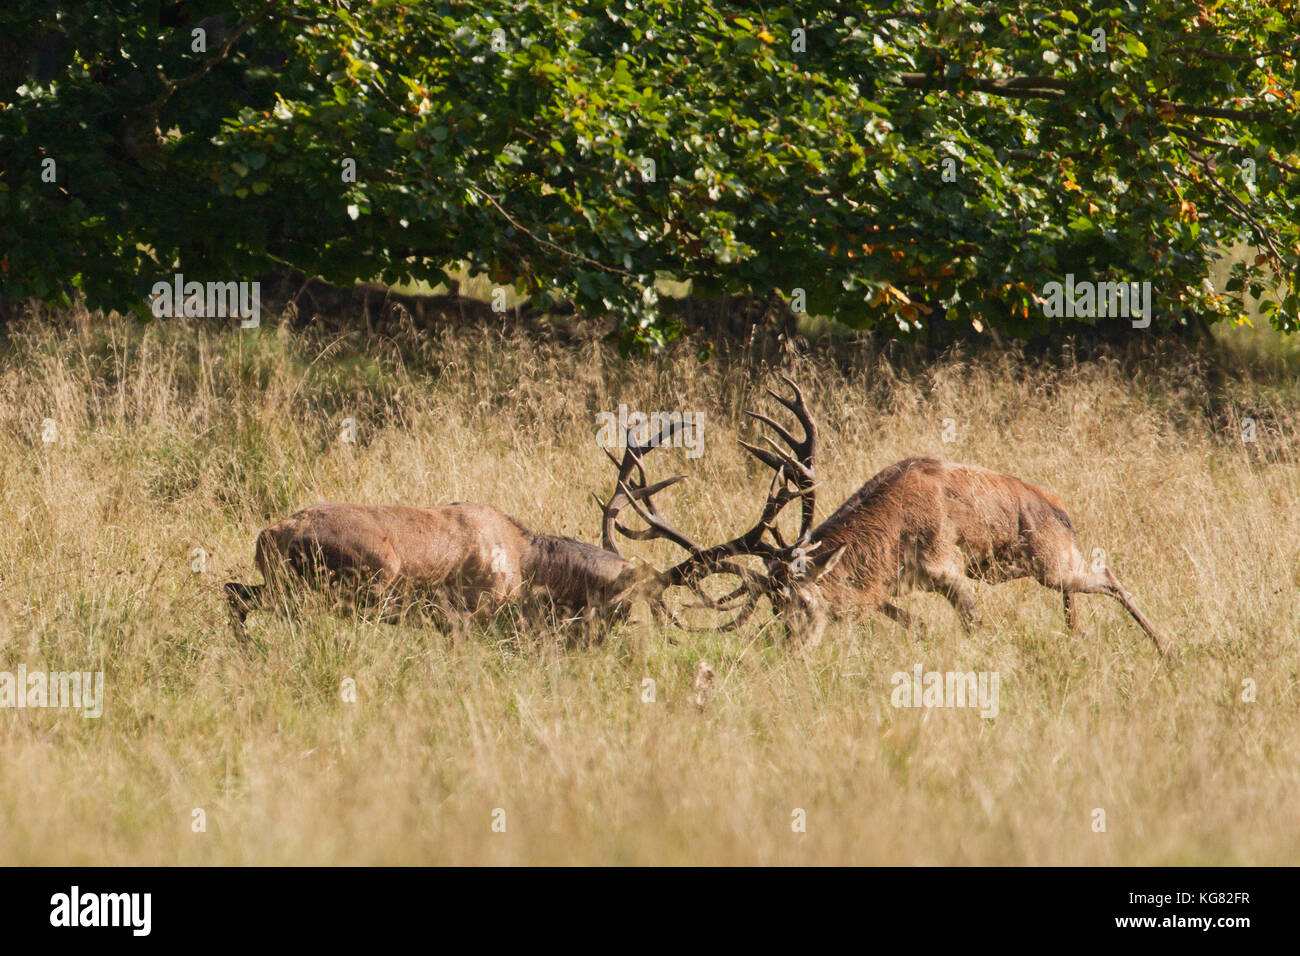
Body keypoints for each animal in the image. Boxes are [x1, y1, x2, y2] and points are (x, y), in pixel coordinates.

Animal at [601, 376, 1173, 661]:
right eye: (774, 610)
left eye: (803, 605)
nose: (791, 653)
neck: (889, 543)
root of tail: (1060, 509)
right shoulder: (887, 589)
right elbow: (911, 622)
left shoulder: (947, 566)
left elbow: (973, 622)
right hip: (1045, 565)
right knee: (1079, 590)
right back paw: (1078, 639)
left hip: (1051, 559)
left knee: (1107, 574)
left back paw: (1166, 647)